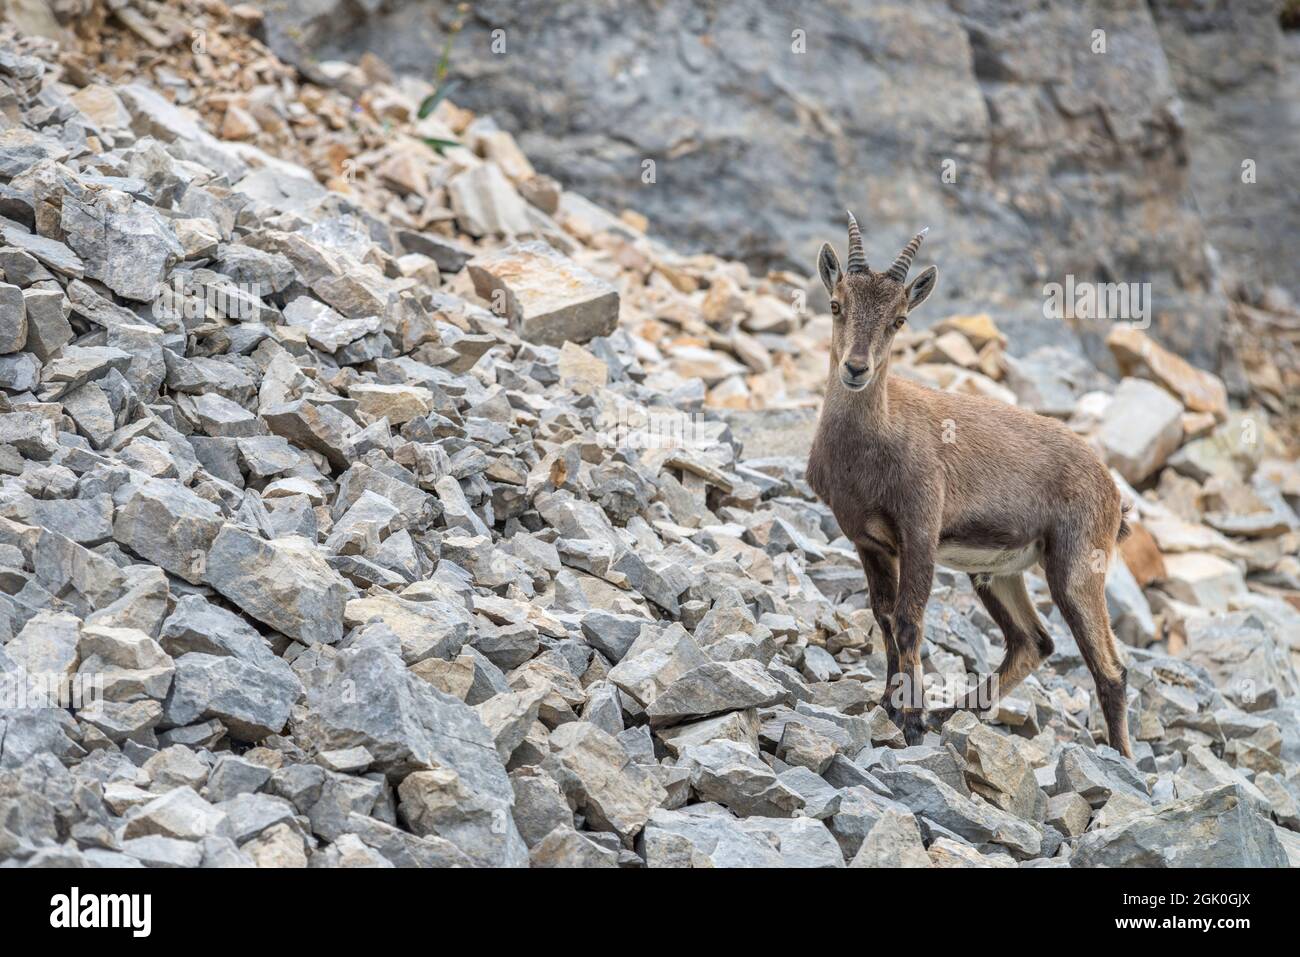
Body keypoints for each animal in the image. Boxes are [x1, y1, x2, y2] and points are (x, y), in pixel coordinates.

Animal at [806, 212, 1133, 755]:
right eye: (836, 305)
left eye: (899, 320)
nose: (856, 368)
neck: (869, 445)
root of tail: (1112, 489)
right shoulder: (870, 542)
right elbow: (884, 617)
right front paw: (889, 707)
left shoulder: (920, 530)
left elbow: (910, 620)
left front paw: (911, 722)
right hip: (997, 572)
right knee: (1033, 641)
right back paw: (952, 712)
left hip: (1077, 566)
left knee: (1110, 668)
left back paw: (1122, 758)